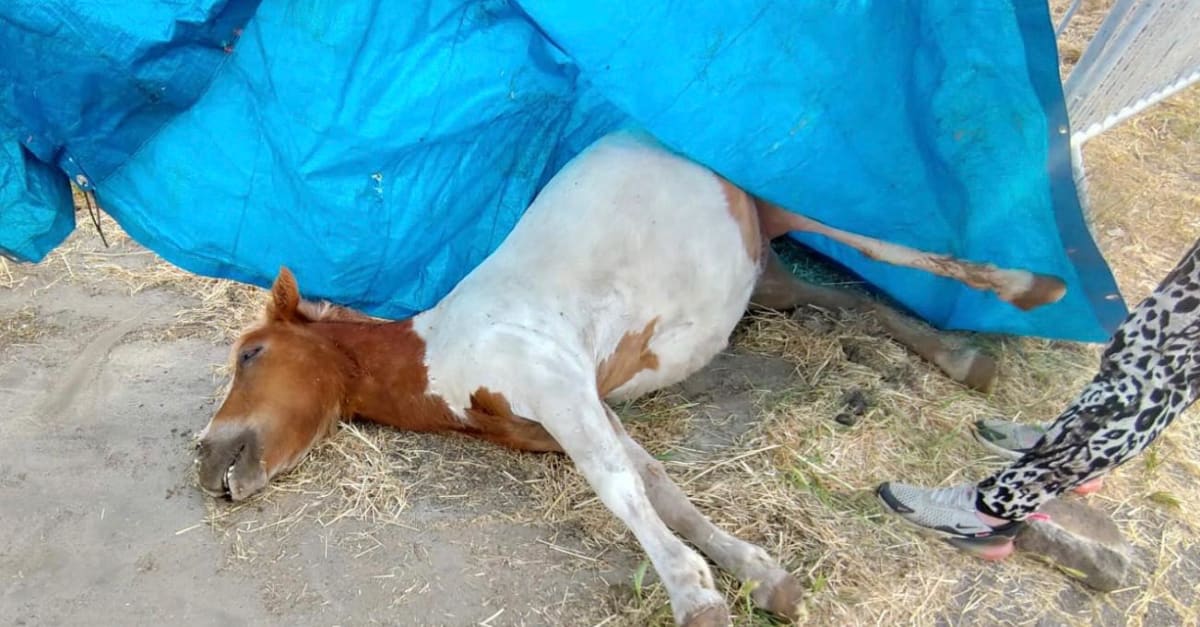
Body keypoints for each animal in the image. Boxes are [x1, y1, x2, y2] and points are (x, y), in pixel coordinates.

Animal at [196, 131, 1064, 626]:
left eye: (250, 354)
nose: (205, 455)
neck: (442, 350)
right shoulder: (582, 414)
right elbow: (661, 491)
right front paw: (762, 576)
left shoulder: (561, 388)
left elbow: (621, 492)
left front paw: (697, 596)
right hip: (763, 265)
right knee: (844, 298)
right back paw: (962, 356)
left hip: (775, 202)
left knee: (889, 250)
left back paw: (1031, 287)